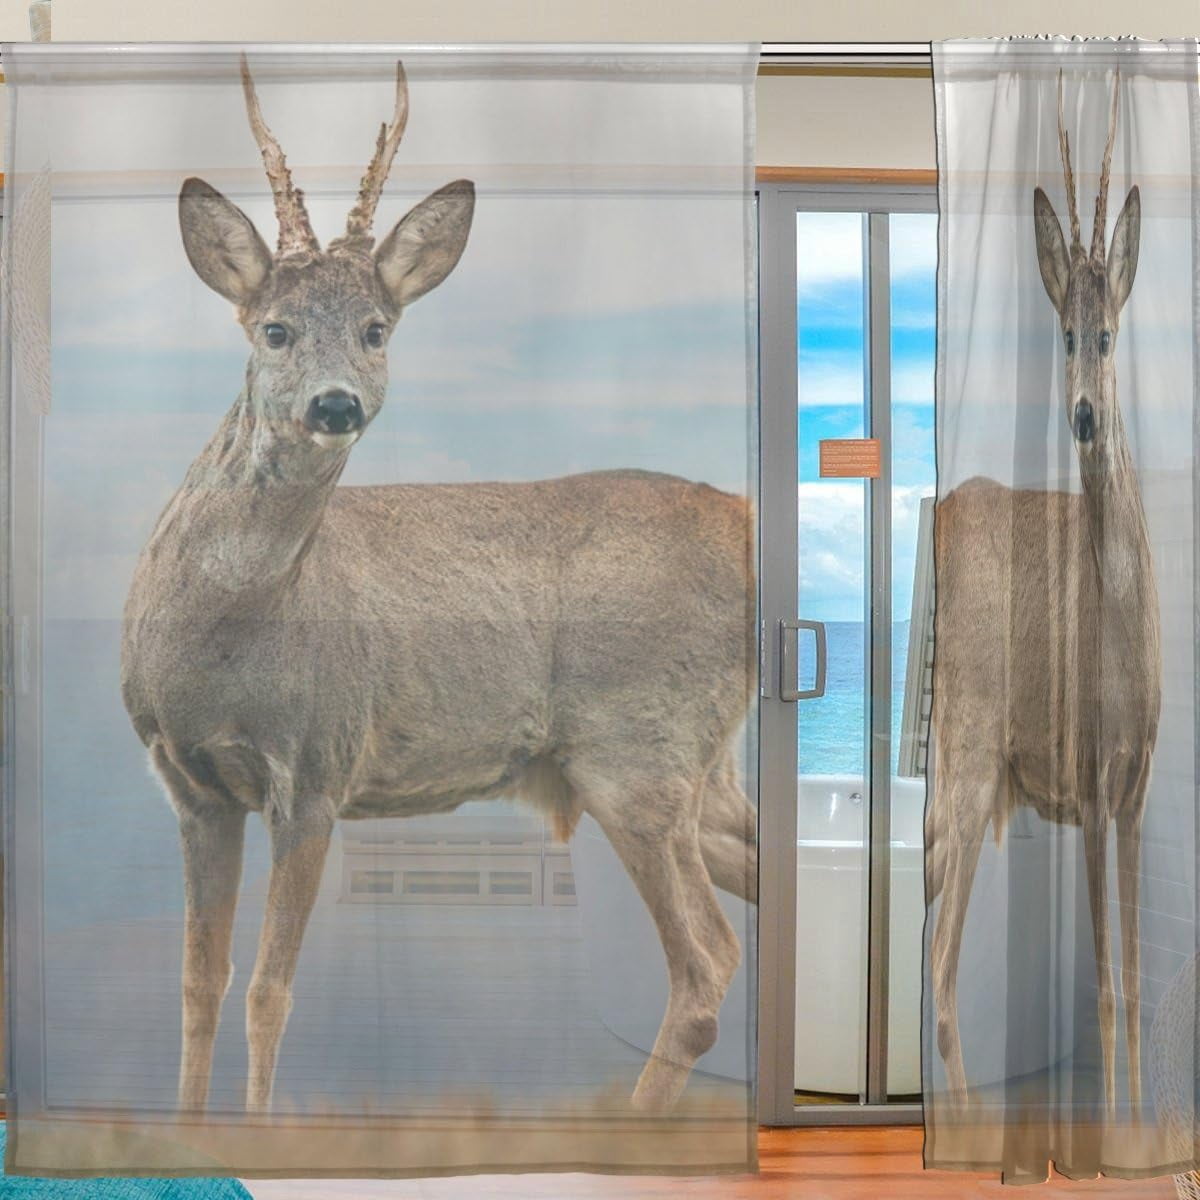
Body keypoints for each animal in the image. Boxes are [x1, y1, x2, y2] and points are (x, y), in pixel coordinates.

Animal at [119, 56, 757, 1118]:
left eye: (377, 328)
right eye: (275, 329)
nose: (335, 404)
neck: (221, 641)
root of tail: (749, 527)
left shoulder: (317, 769)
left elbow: (268, 992)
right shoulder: (192, 786)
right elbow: (197, 983)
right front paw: (187, 1130)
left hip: (639, 754)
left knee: (708, 966)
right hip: (698, 773)